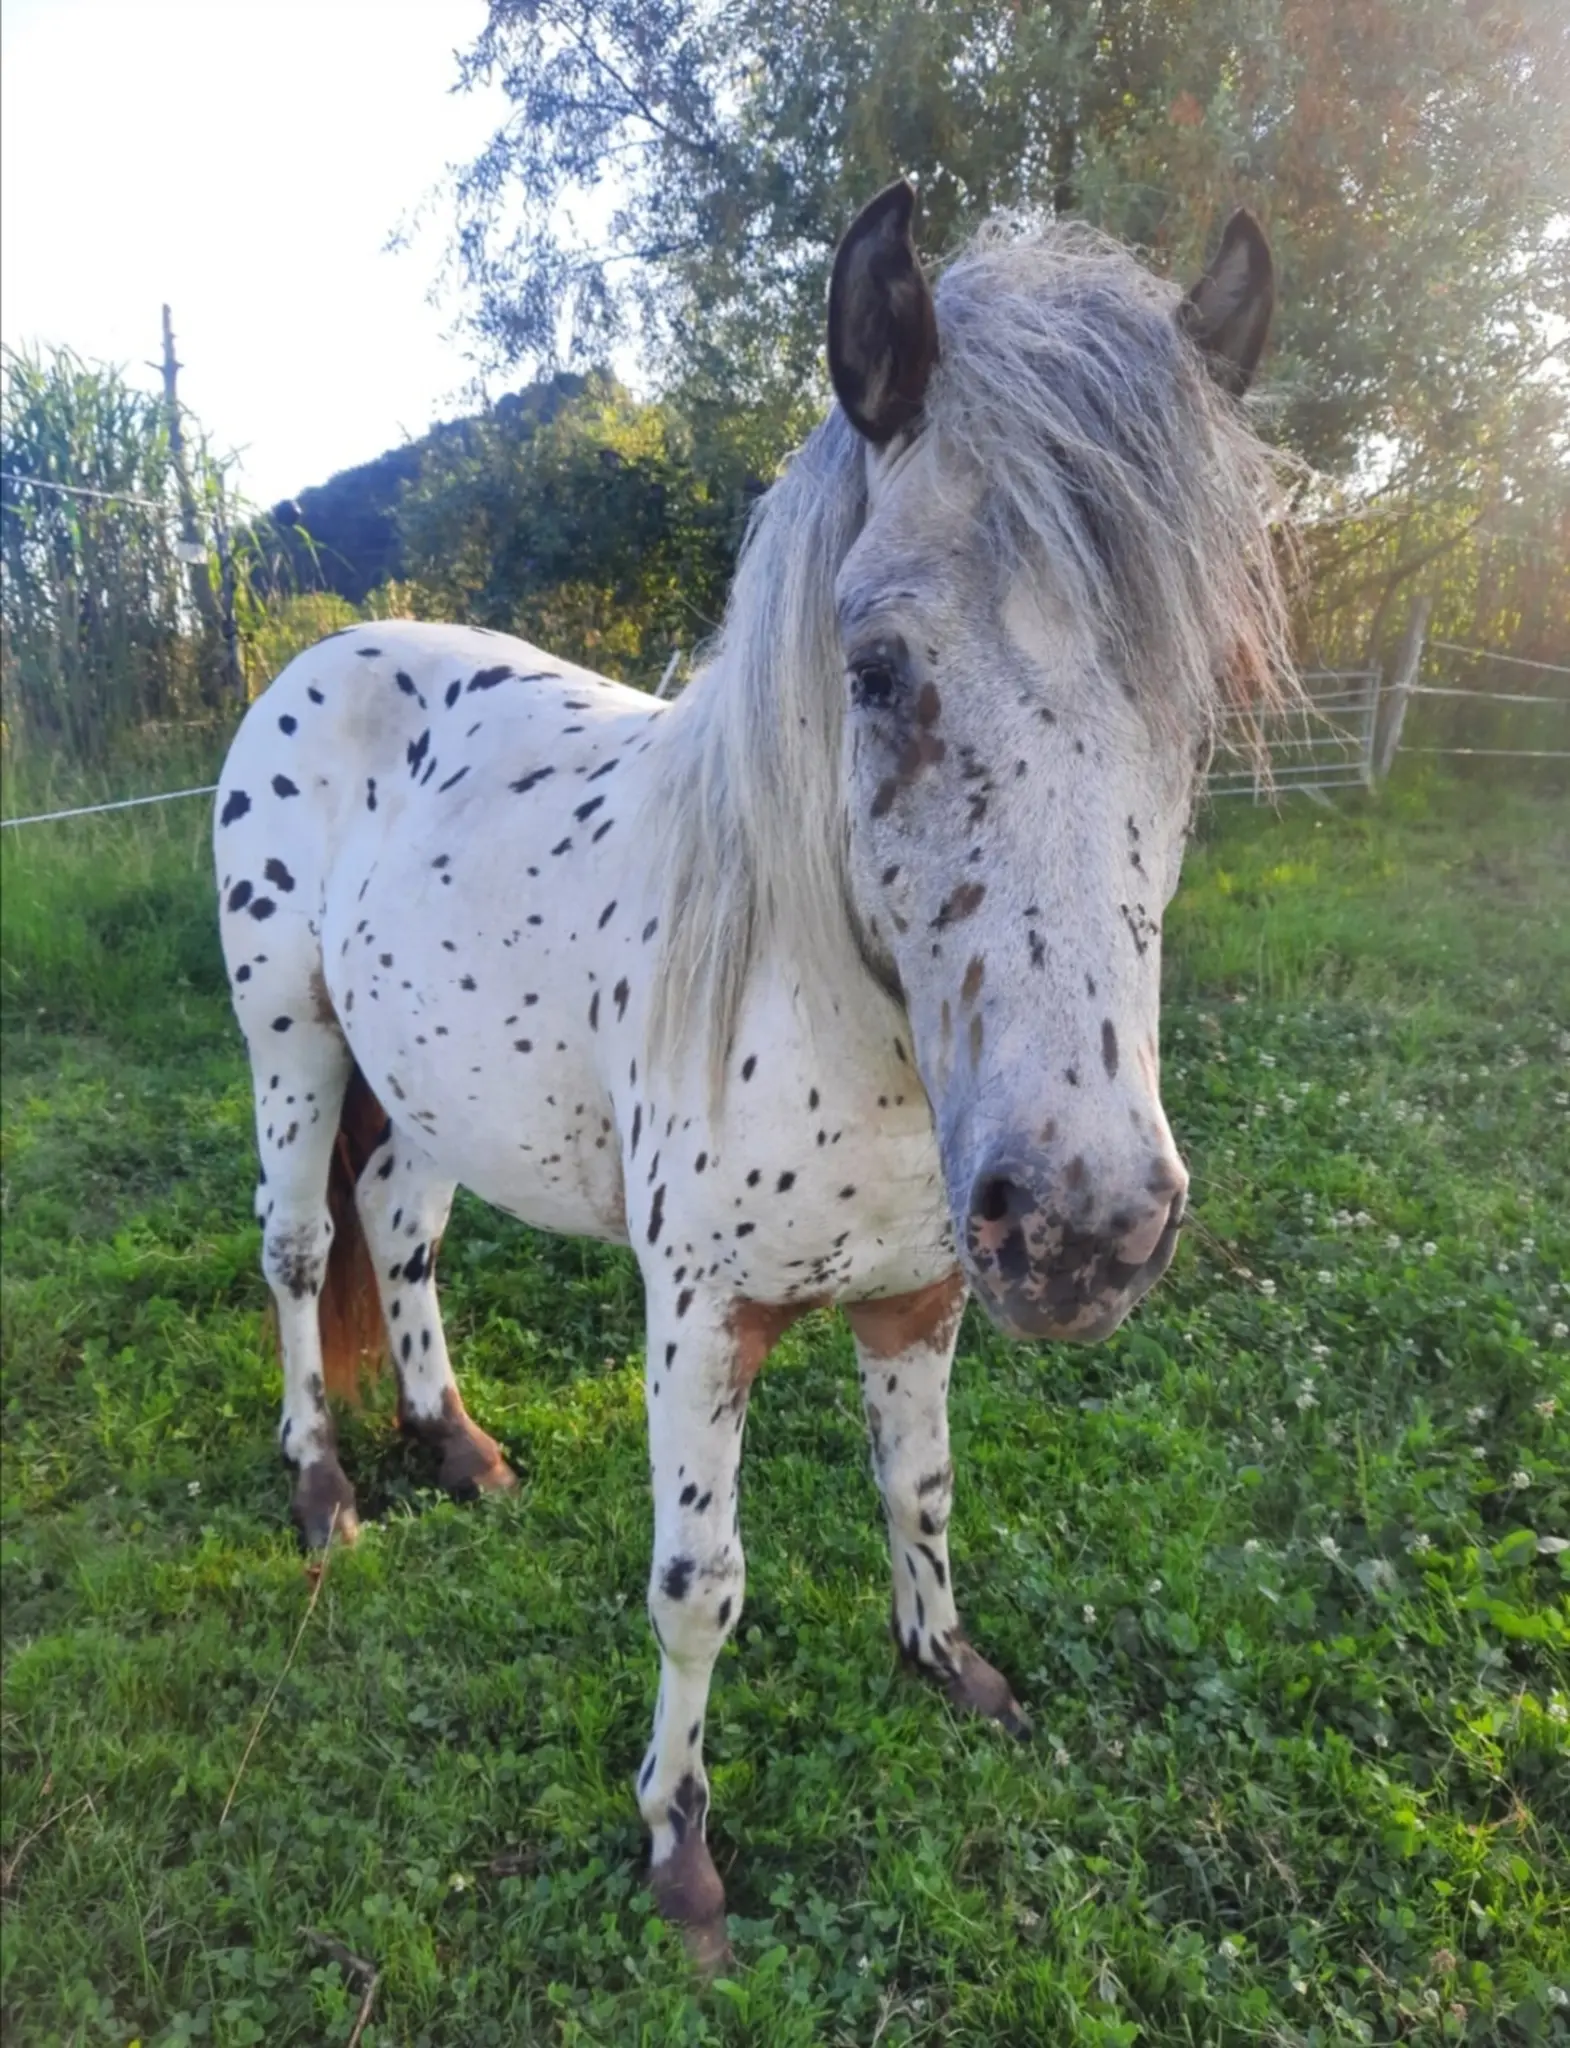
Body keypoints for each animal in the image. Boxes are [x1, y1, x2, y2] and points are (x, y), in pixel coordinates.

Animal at [214, 182, 1292, 1962]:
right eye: (873, 667)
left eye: (1210, 692)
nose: (1085, 1228)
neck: (840, 1023)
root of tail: (327, 654)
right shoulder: (699, 1319)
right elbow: (698, 1588)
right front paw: (678, 1852)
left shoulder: (922, 1296)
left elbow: (919, 1493)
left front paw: (947, 1667)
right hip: (290, 1038)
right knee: (302, 1247)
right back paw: (322, 1488)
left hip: (433, 1081)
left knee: (400, 1222)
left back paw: (458, 1446)